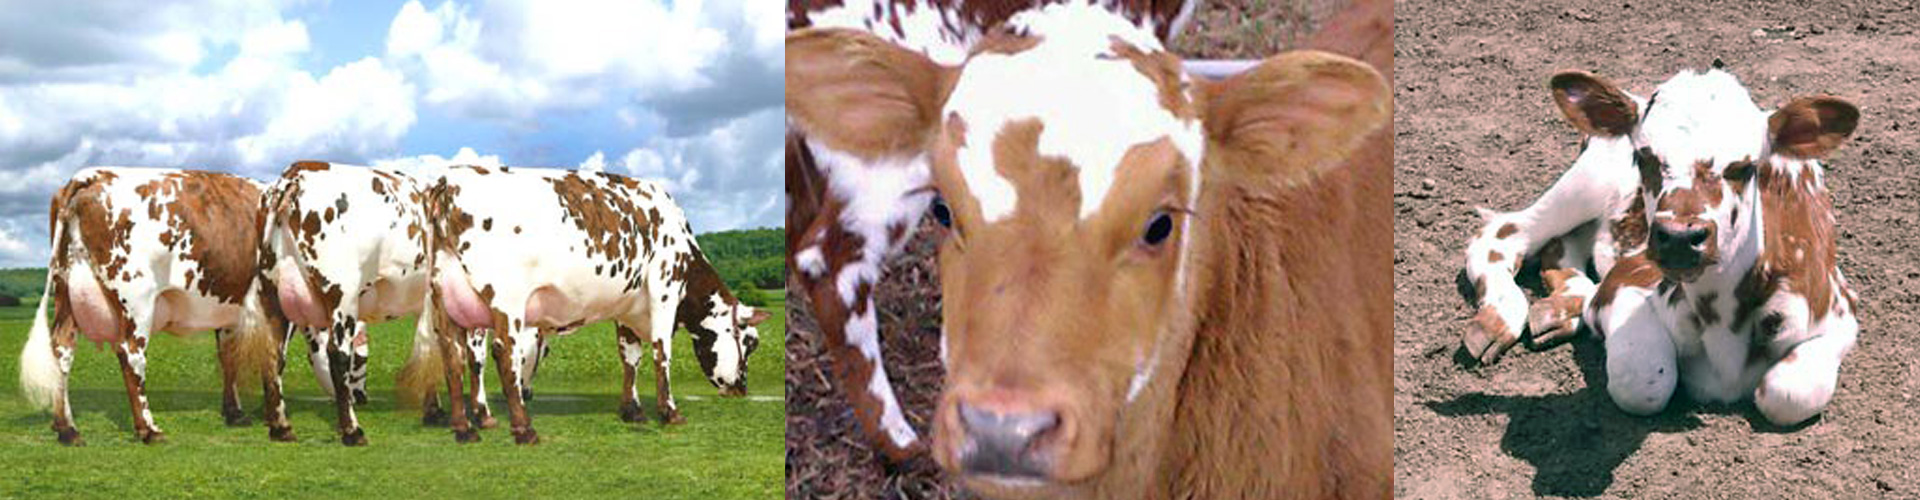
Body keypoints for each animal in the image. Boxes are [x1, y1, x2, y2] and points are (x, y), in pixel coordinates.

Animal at [17, 168, 281, 445]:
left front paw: (235, 413)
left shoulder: (228, 309)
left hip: (66, 292)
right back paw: (149, 429)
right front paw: (272, 416)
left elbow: (228, 357)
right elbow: (274, 358)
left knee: (61, 351)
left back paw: (67, 428)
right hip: (136, 298)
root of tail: (91, 175)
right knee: (130, 353)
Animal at [399, 166, 767, 444]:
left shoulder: (627, 309)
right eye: (750, 343)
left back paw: (464, 429)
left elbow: (630, 358)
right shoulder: (664, 287)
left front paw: (632, 410)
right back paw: (523, 429)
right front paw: (670, 412)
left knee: (453, 358)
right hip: (507, 300)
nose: (742, 388)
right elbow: (662, 353)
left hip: (447, 302)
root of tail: (448, 181)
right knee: (503, 353)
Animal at [1459, 67, 1861, 426]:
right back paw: (1500, 318)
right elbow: (1643, 382)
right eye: (1644, 157)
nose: (1681, 238)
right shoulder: (1626, 282)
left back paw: (1562, 307)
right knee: (1503, 233)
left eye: (1746, 167)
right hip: (1585, 181)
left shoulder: (1839, 310)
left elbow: (1789, 393)